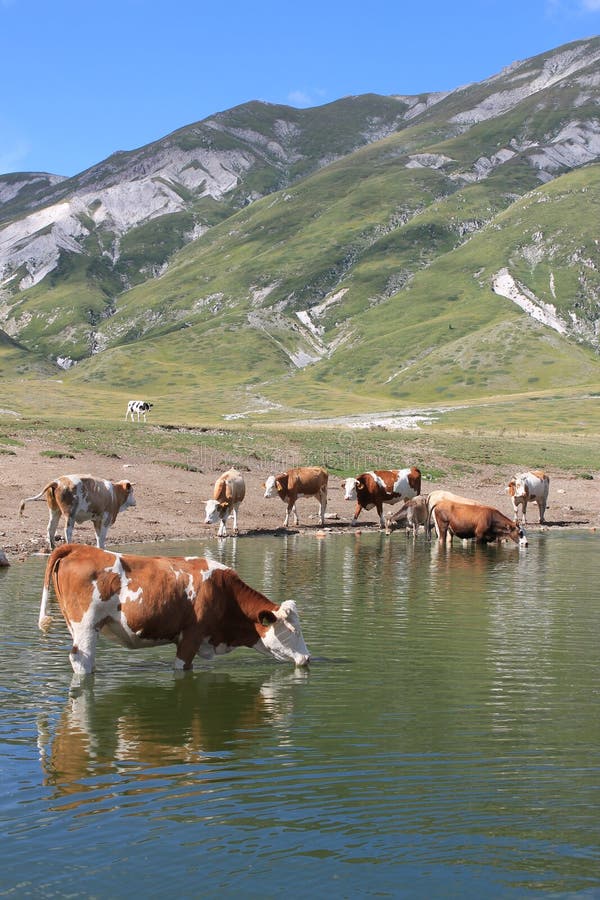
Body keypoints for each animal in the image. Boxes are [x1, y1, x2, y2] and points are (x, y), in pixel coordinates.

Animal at [38, 544, 310, 674]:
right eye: (294, 631)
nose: (307, 658)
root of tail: (78, 547)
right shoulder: (191, 637)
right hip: (85, 625)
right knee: (81, 661)